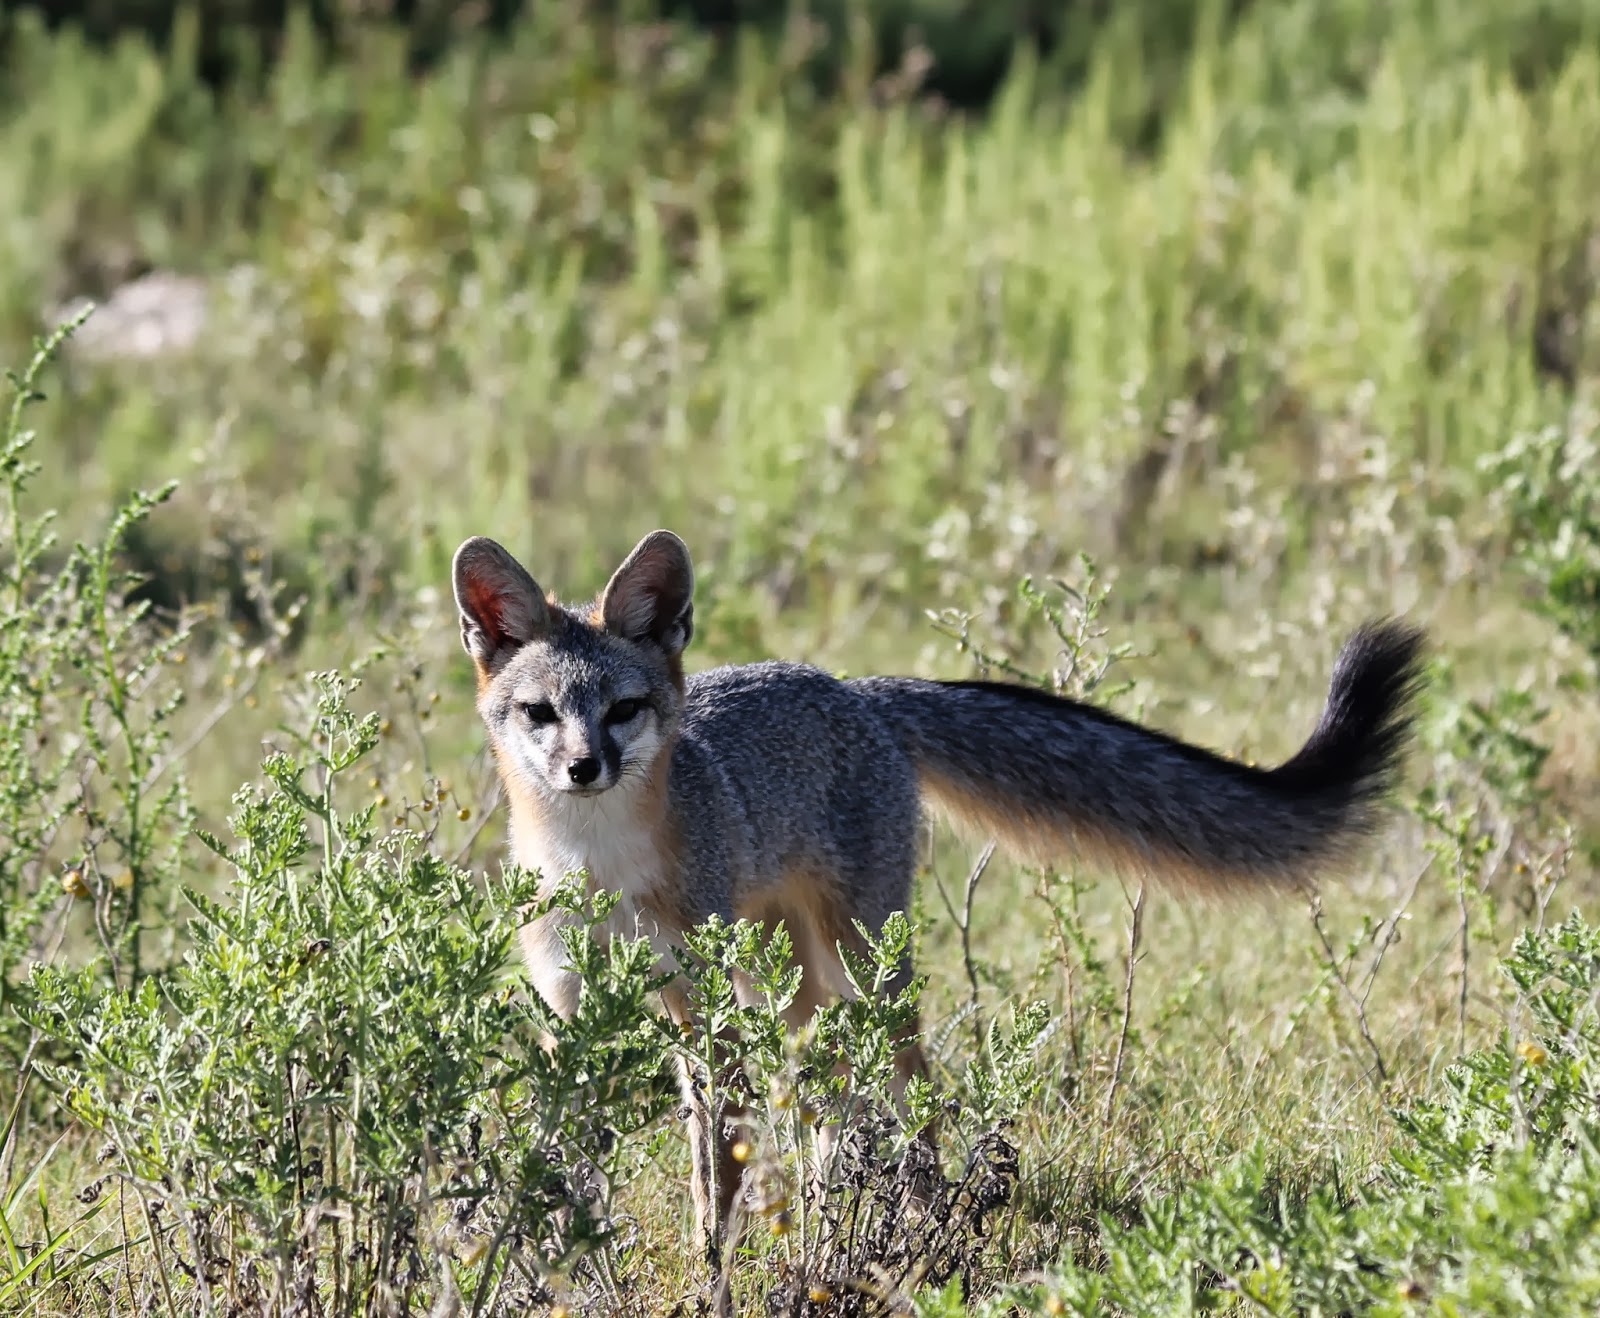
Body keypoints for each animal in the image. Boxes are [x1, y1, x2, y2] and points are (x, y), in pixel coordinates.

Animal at [451, 528, 1426, 1264]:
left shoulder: (703, 1014)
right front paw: (556, 1251)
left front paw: (710, 1266)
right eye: (542, 714)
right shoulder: (574, 1010)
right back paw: (830, 1218)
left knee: (913, 1094)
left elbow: (712, 1169)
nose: (585, 767)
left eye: (622, 710)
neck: (598, 870)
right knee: (833, 1092)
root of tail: (856, 691)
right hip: (797, 990)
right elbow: (569, 1158)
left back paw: (910, 1226)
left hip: (858, 970)